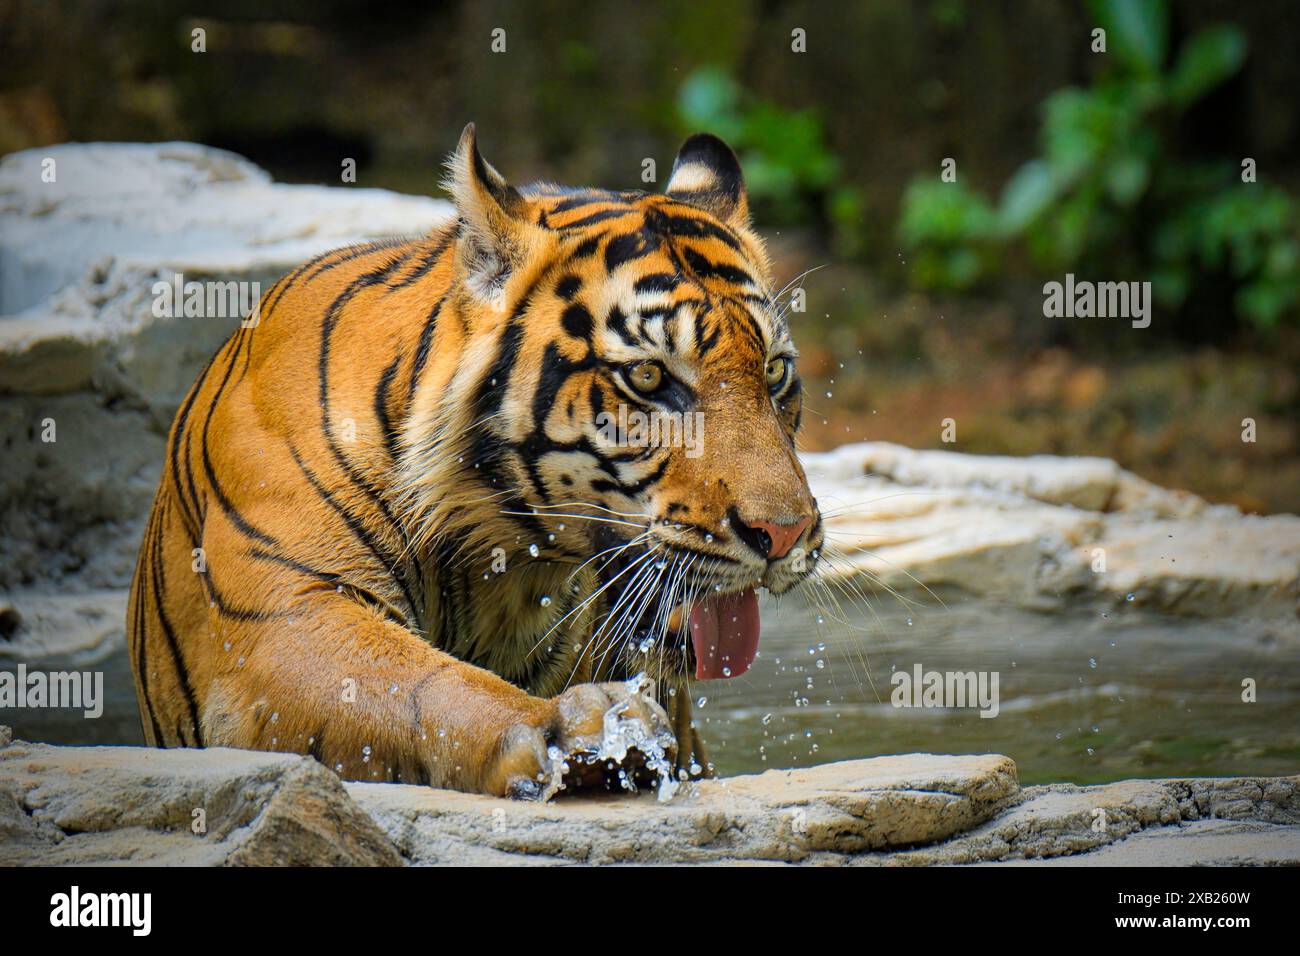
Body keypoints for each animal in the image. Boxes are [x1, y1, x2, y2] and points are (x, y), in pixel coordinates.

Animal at [127, 125, 823, 798]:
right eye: (648, 377)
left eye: (775, 372)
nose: (783, 535)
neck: (503, 562)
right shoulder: (280, 615)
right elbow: (414, 681)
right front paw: (569, 731)